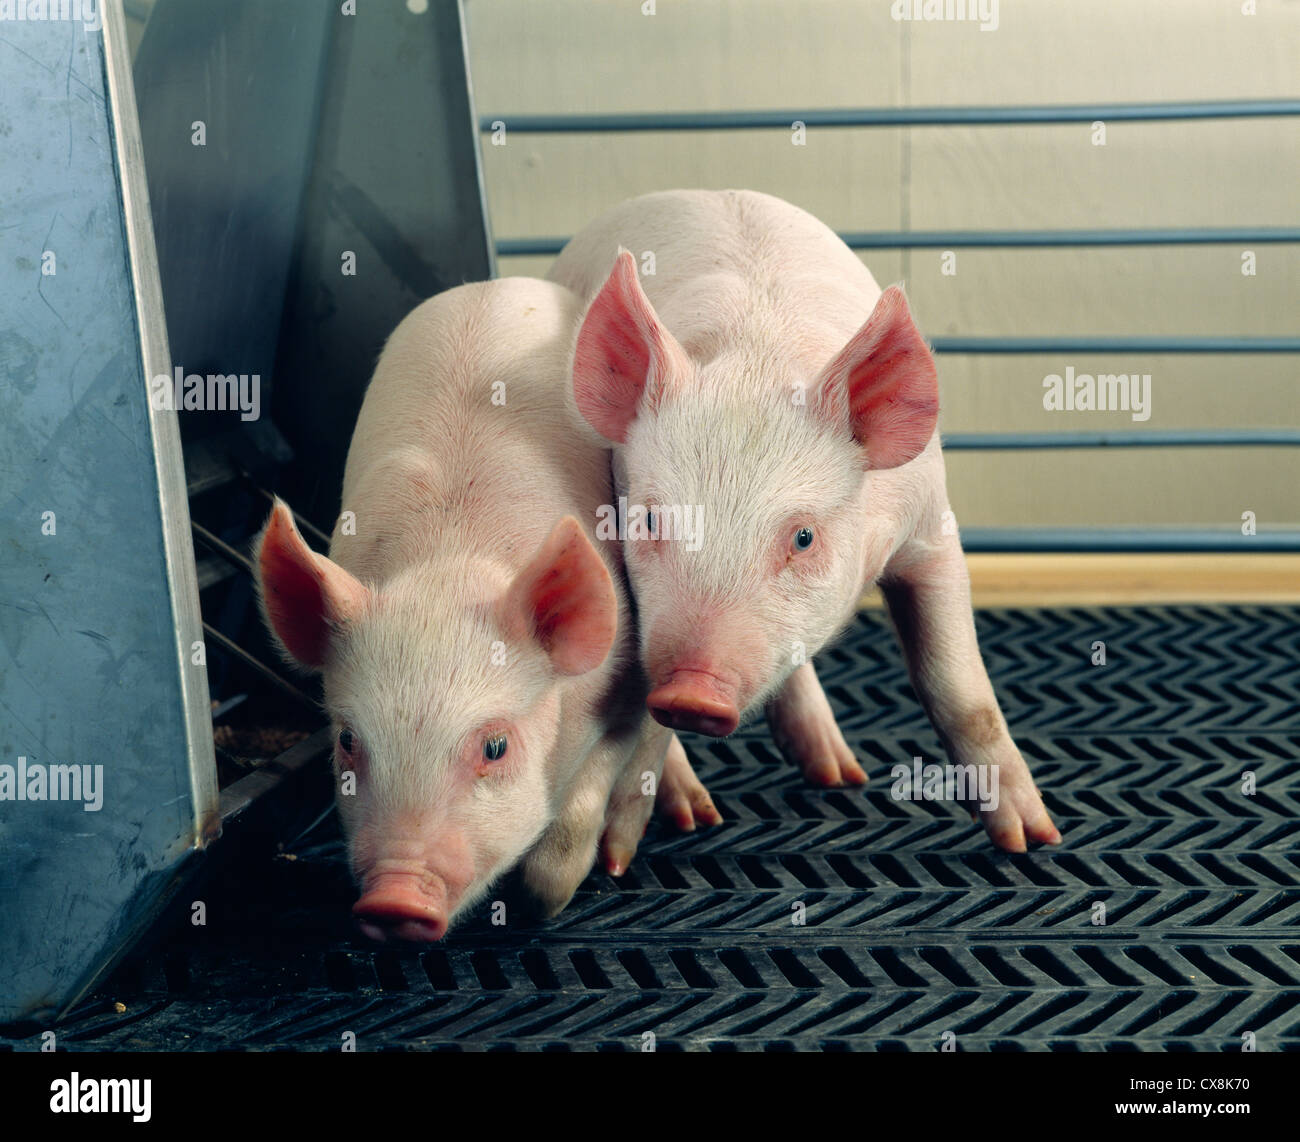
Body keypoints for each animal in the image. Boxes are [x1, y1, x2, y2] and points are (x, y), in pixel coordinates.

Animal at [254, 277, 716, 942]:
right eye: (347, 740)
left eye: (494, 747)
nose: (393, 897)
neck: (447, 572)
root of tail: (493, 283)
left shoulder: (623, 683)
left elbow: (580, 812)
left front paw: (543, 905)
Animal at [548, 190, 1060, 852]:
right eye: (651, 520)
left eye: (803, 537)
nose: (691, 691)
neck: (758, 354)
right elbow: (643, 711)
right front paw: (633, 848)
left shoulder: (930, 530)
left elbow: (959, 687)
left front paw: (1033, 840)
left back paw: (840, 775)